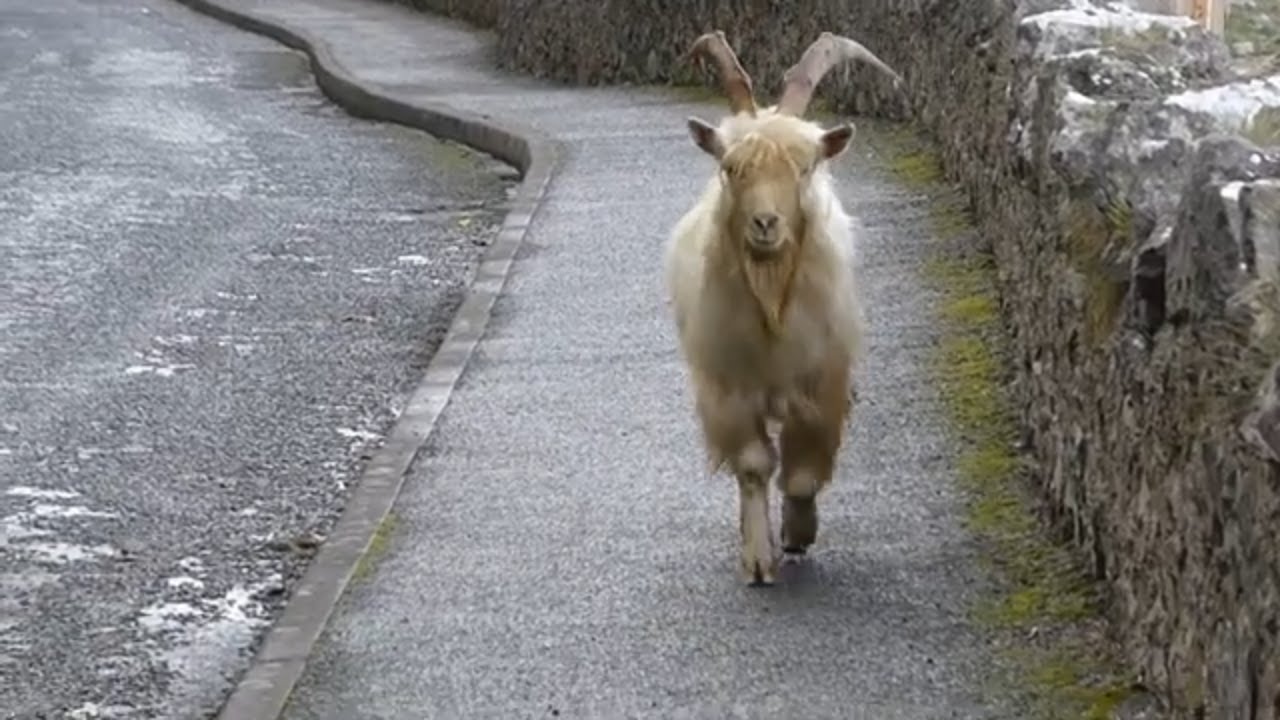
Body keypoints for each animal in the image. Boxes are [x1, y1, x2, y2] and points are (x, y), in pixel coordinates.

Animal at [663, 30, 901, 585]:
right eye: (731, 168)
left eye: (805, 167)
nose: (766, 224)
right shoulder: (729, 389)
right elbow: (753, 467)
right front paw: (758, 557)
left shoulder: (820, 387)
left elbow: (801, 475)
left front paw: (798, 533)